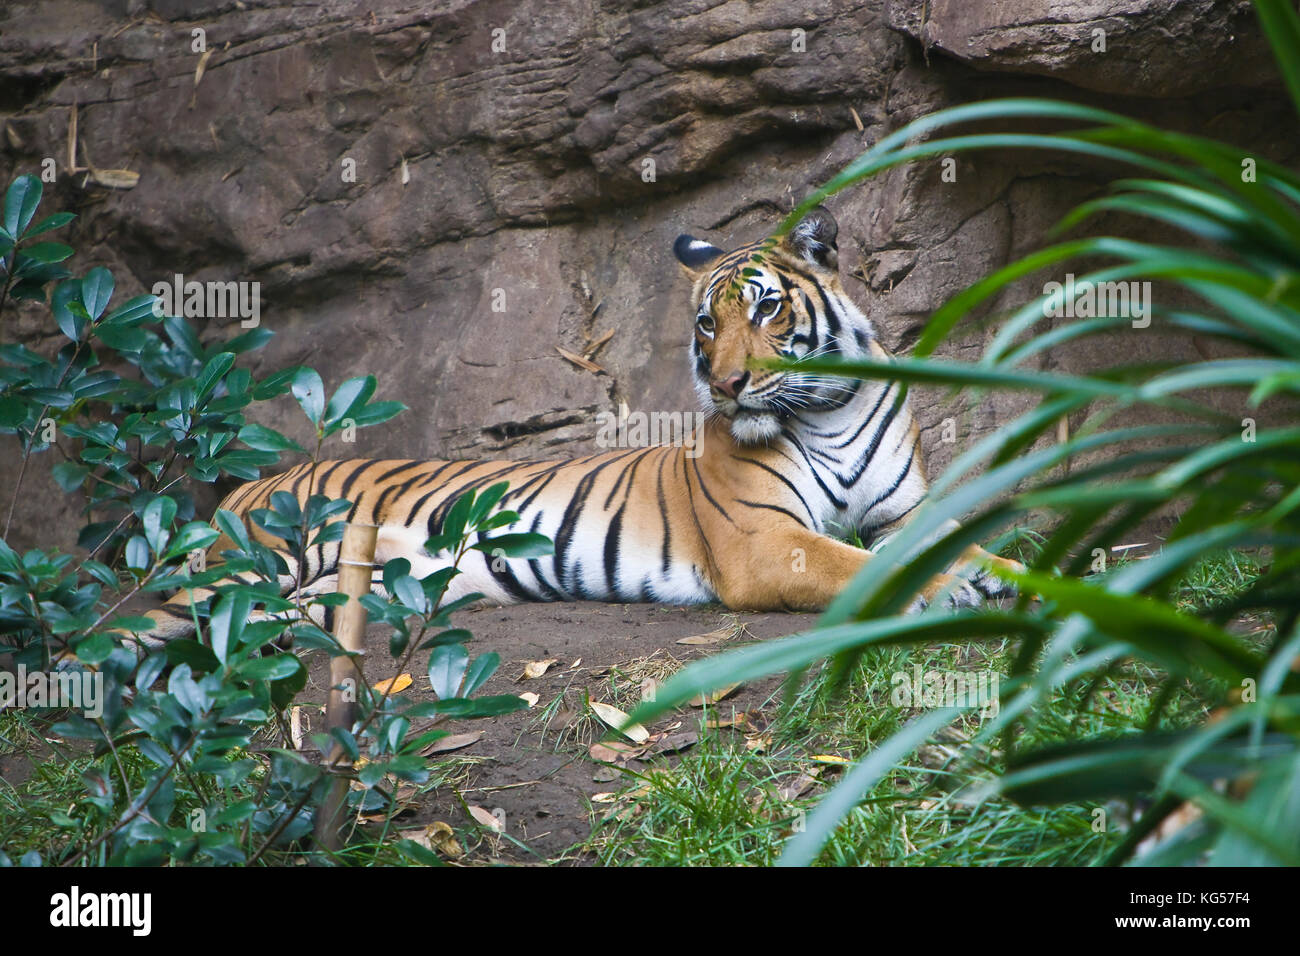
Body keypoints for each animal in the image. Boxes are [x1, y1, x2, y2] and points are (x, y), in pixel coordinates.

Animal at [132, 206, 1023, 648]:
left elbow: (966, 545)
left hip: (309, 596)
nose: (727, 385)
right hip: (248, 565)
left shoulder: (906, 513)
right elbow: (866, 567)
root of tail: (247, 485)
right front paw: (951, 590)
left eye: (767, 309)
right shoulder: (767, 542)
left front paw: (1013, 575)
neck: (829, 408)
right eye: (707, 324)